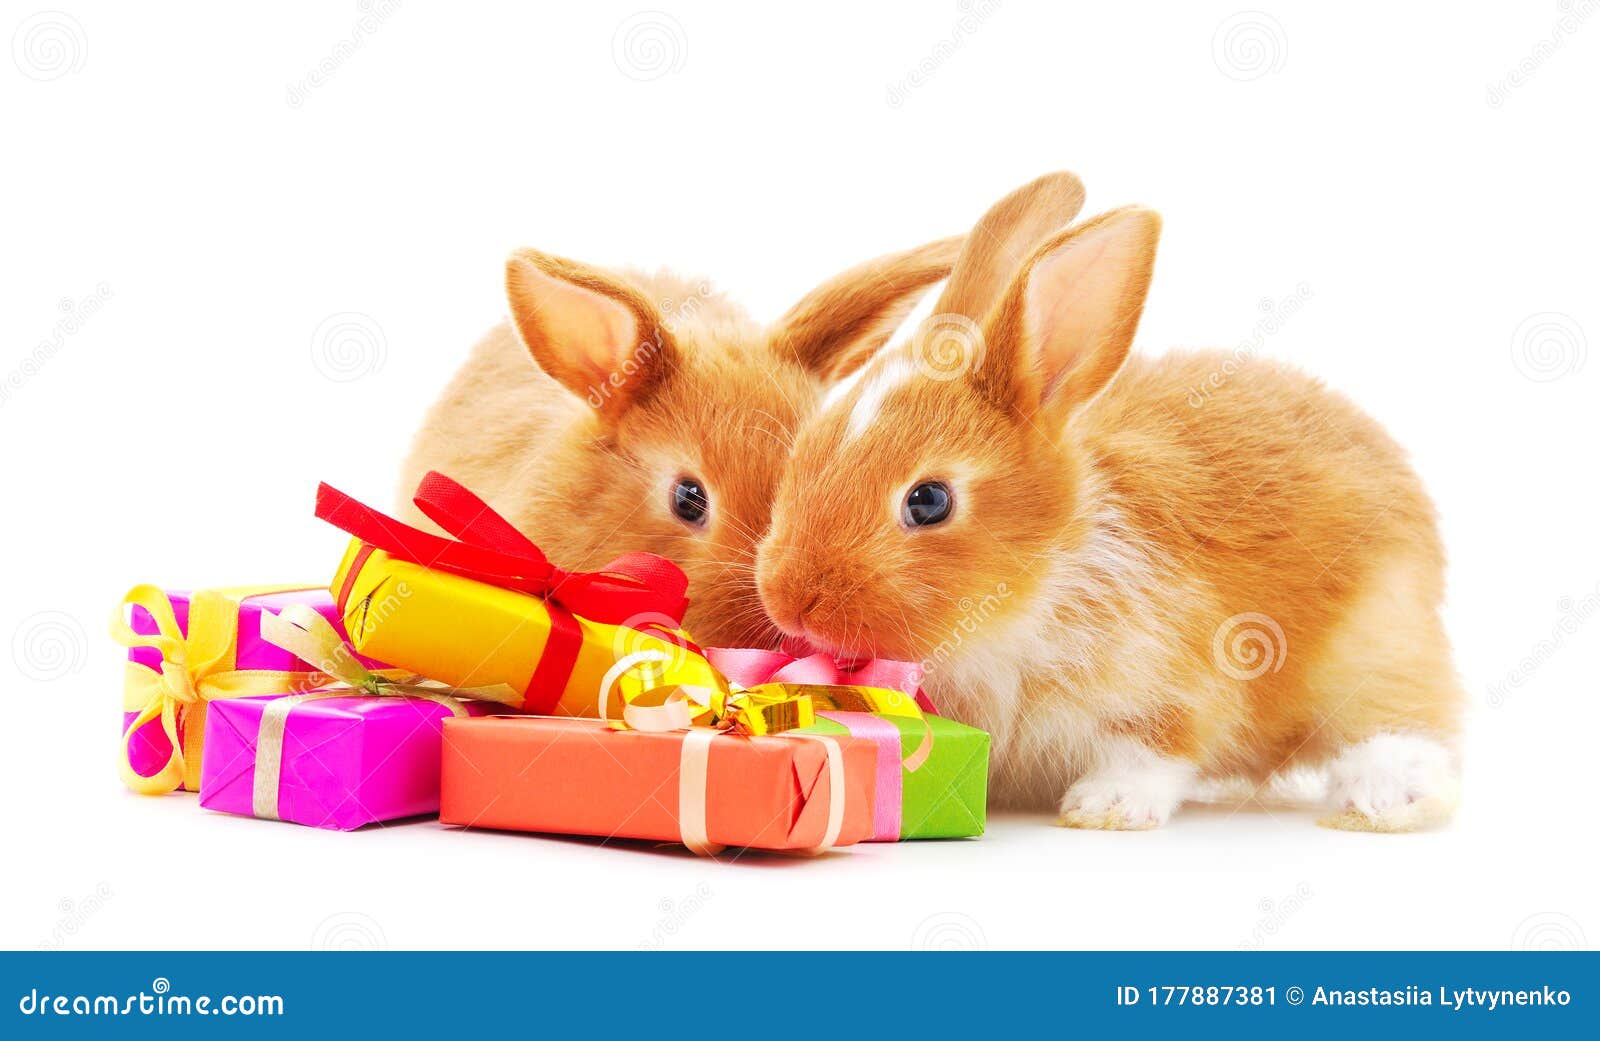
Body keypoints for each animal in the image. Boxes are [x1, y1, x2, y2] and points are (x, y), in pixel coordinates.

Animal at [755, 171, 1463, 833]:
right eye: (802, 453)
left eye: (928, 502)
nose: (790, 599)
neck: (1032, 587)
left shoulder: (1180, 679)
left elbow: (1153, 748)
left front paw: (1105, 808)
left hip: (1377, 645)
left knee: (1411, 725)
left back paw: (1379, 799)